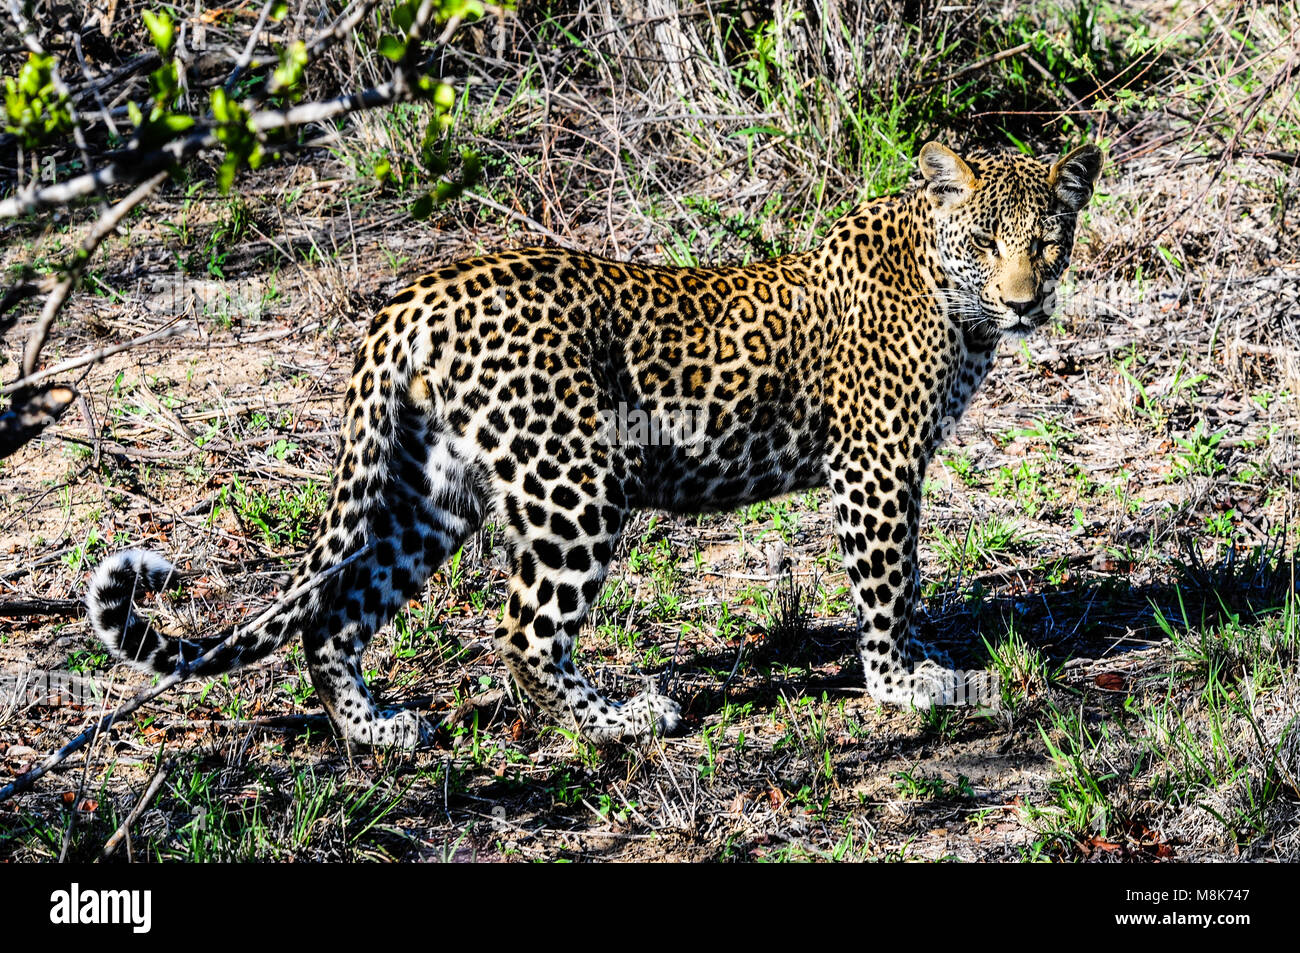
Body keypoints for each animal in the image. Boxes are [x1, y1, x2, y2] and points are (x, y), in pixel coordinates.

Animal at [87, 141, 1102, 749]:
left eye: (1049, 243)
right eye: (987, 241)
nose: (1025, 302)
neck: (949, 295)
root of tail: (410, 297)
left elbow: (908, 582)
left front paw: (923, 661)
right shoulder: (875, 464)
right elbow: (888, 585)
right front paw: (901, 684)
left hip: (431, 492)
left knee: (335, 614)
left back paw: (379, 730)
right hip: (573, 483)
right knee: (525, 633)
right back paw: (625, 717)